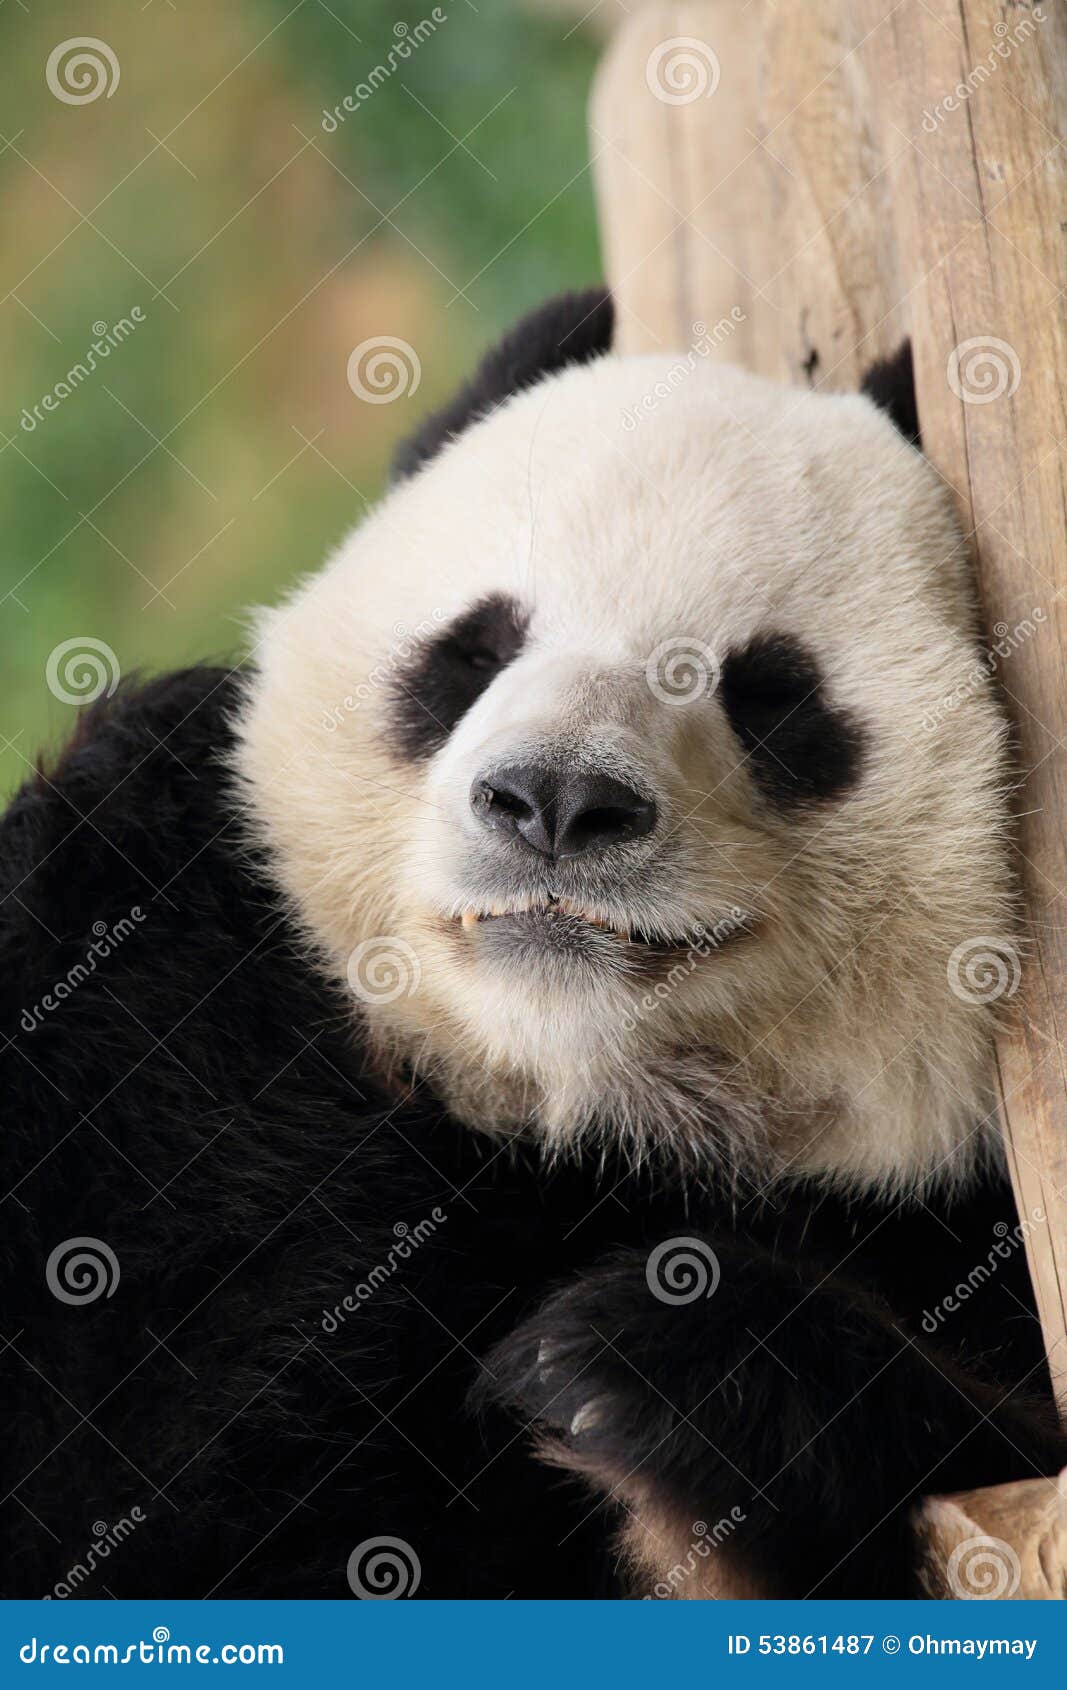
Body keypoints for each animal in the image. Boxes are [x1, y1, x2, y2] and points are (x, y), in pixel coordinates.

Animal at [2, 289, 1063, 1601]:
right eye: (474, 650)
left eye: (768, 694)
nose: (554, 800)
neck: (574, 1112)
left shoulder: (945, 1224)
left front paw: (638, 1364)